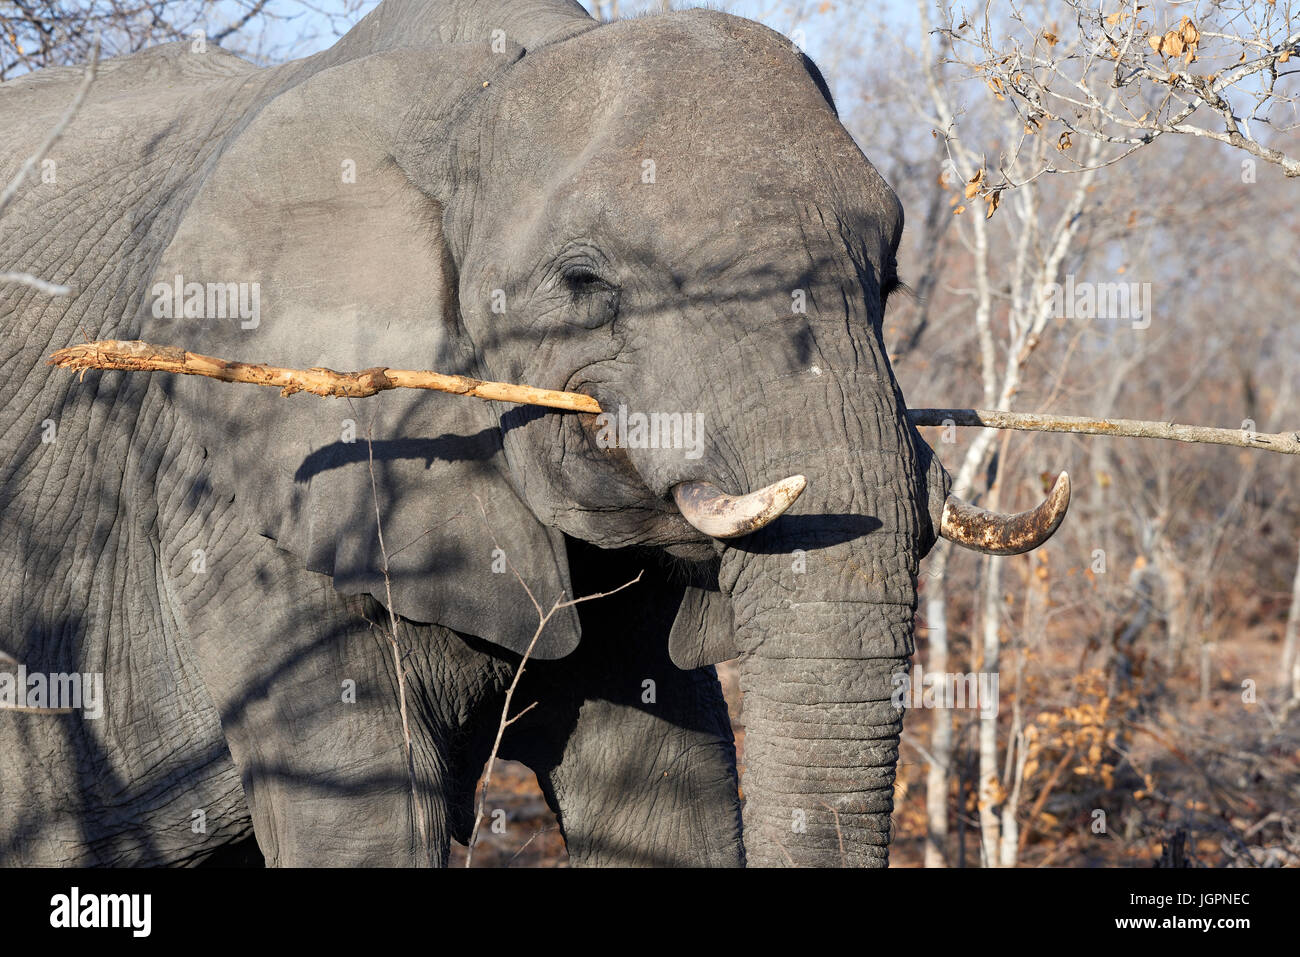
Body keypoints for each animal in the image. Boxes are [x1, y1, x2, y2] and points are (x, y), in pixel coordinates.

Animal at [0, 0, 1069, 866]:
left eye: (888, 280)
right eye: (585, 282)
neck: (472, 94)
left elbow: (667, 798)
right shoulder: (237, 485)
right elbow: (368, 820)